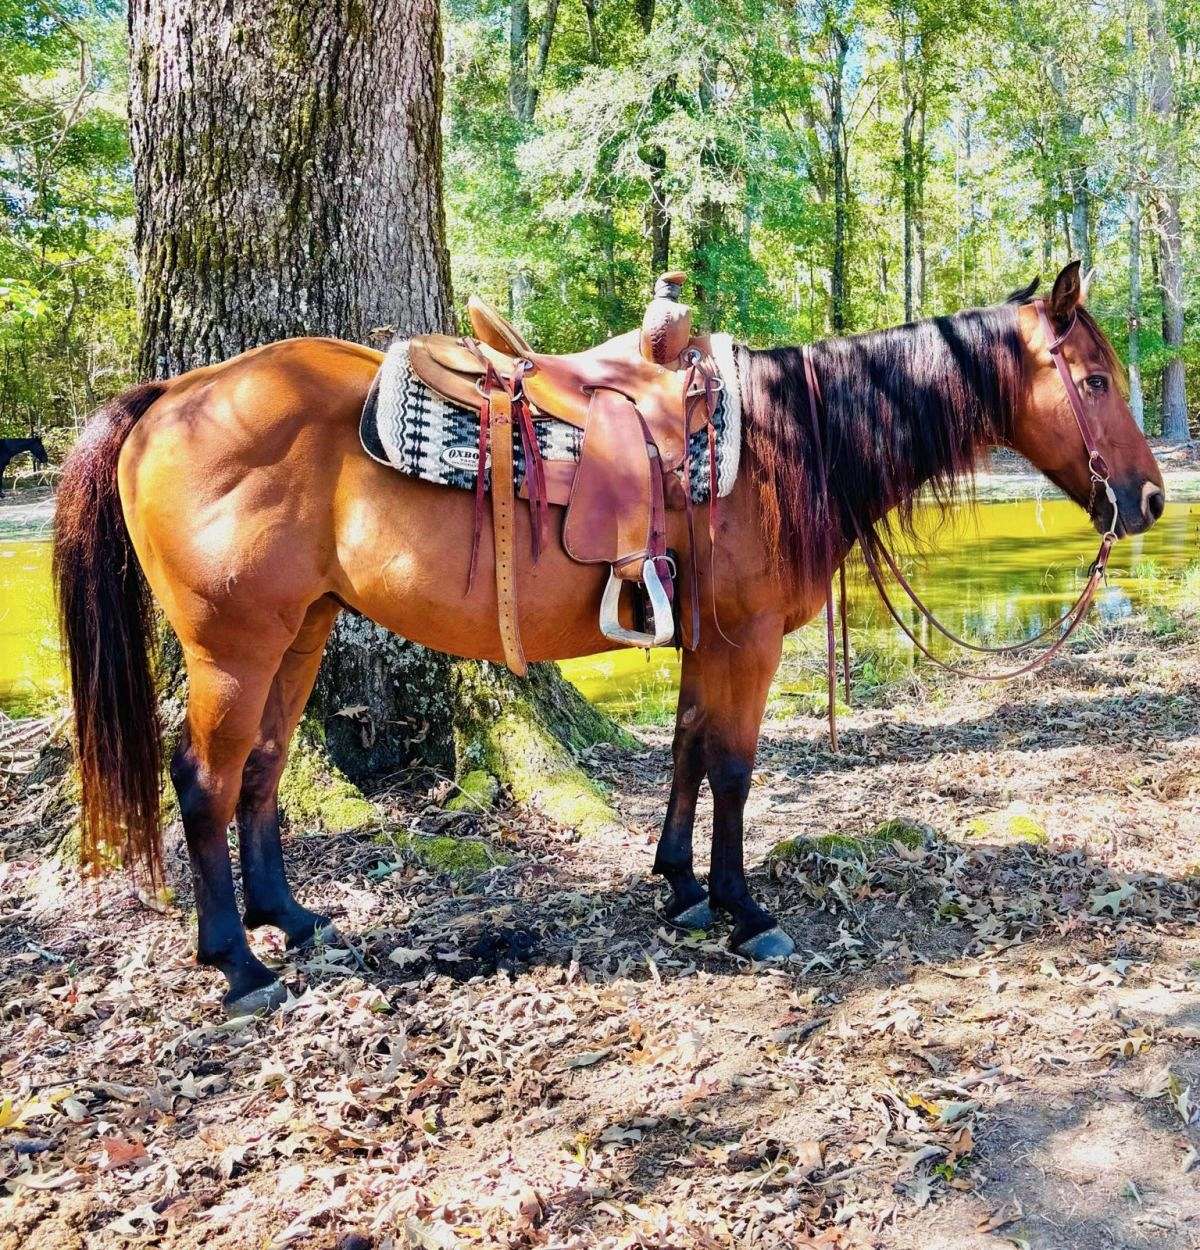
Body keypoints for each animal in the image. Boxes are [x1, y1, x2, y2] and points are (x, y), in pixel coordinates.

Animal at [54, 261, 1164, 1015]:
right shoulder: (745, 640)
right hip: (233, 646)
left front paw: (679, 886)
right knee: (203, 776)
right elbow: (734, 767)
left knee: (266, 767)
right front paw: (744, 909)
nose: (1150, 498)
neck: (784, 443)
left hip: (301, 633)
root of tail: (171, 396)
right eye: (1097, 380)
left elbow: (686, 752)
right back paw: (237, 962)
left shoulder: (705, 641)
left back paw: (288, 919)